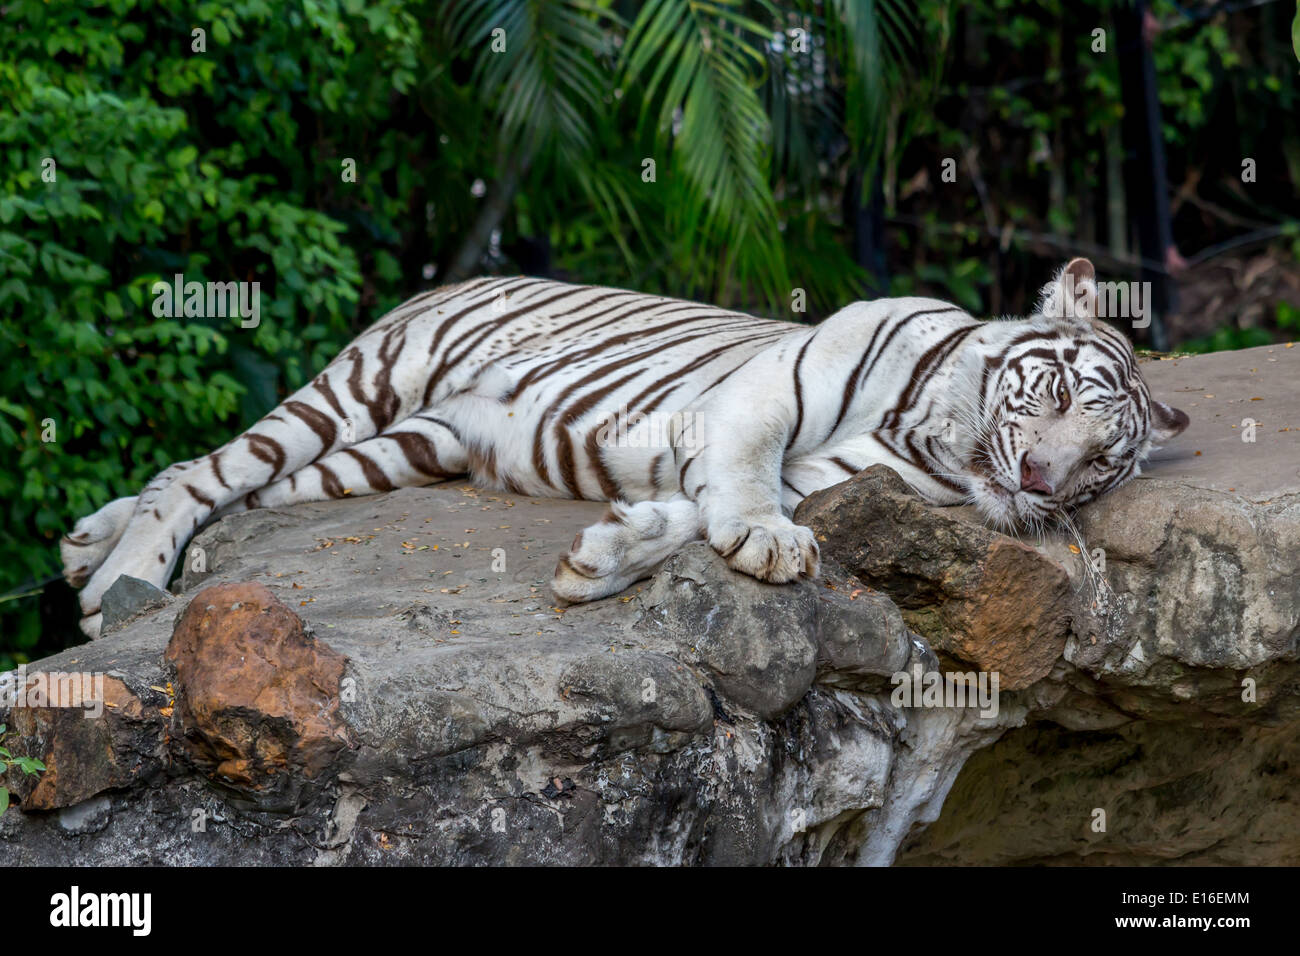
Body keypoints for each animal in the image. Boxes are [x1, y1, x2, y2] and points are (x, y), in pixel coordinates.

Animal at [62, 257, 1188, 638]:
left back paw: (87, 546)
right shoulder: (763, 397)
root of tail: (449, 275)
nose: (1039, 479)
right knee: (203, 473)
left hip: (390, 452)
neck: (935, 430)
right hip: (358, 390)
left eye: (1102, 459)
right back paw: (114, 577)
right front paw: (767, 545)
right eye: (1054, 396)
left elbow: (689, 516)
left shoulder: (823, 477)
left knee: (233, 489)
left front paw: (603, 560)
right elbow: (743, 482)